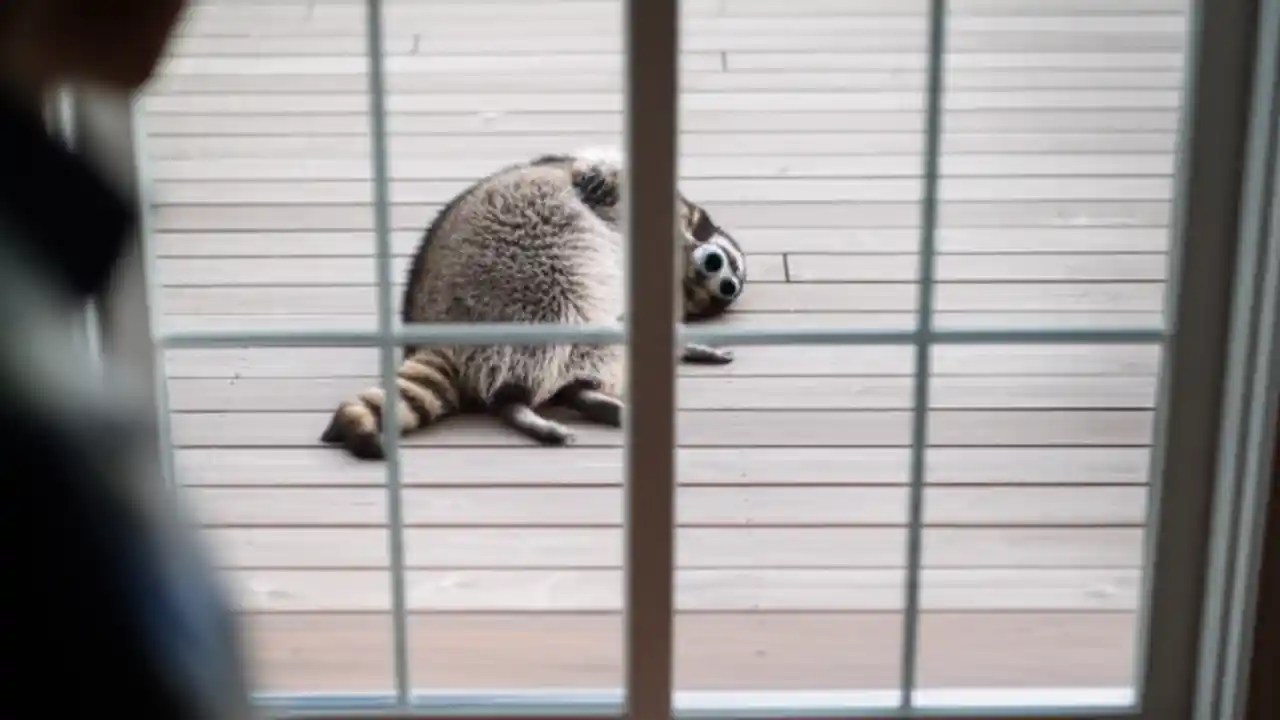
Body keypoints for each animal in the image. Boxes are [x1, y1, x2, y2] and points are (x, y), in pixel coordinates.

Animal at [320, 148, 747, 460]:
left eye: (727, 281)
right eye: (720, 266)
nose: (727, 284)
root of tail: (430, 332)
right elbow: (609, 174)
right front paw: (599, 174)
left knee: (595, 347)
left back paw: (578, 393)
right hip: (523, 288)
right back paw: (520, 403)